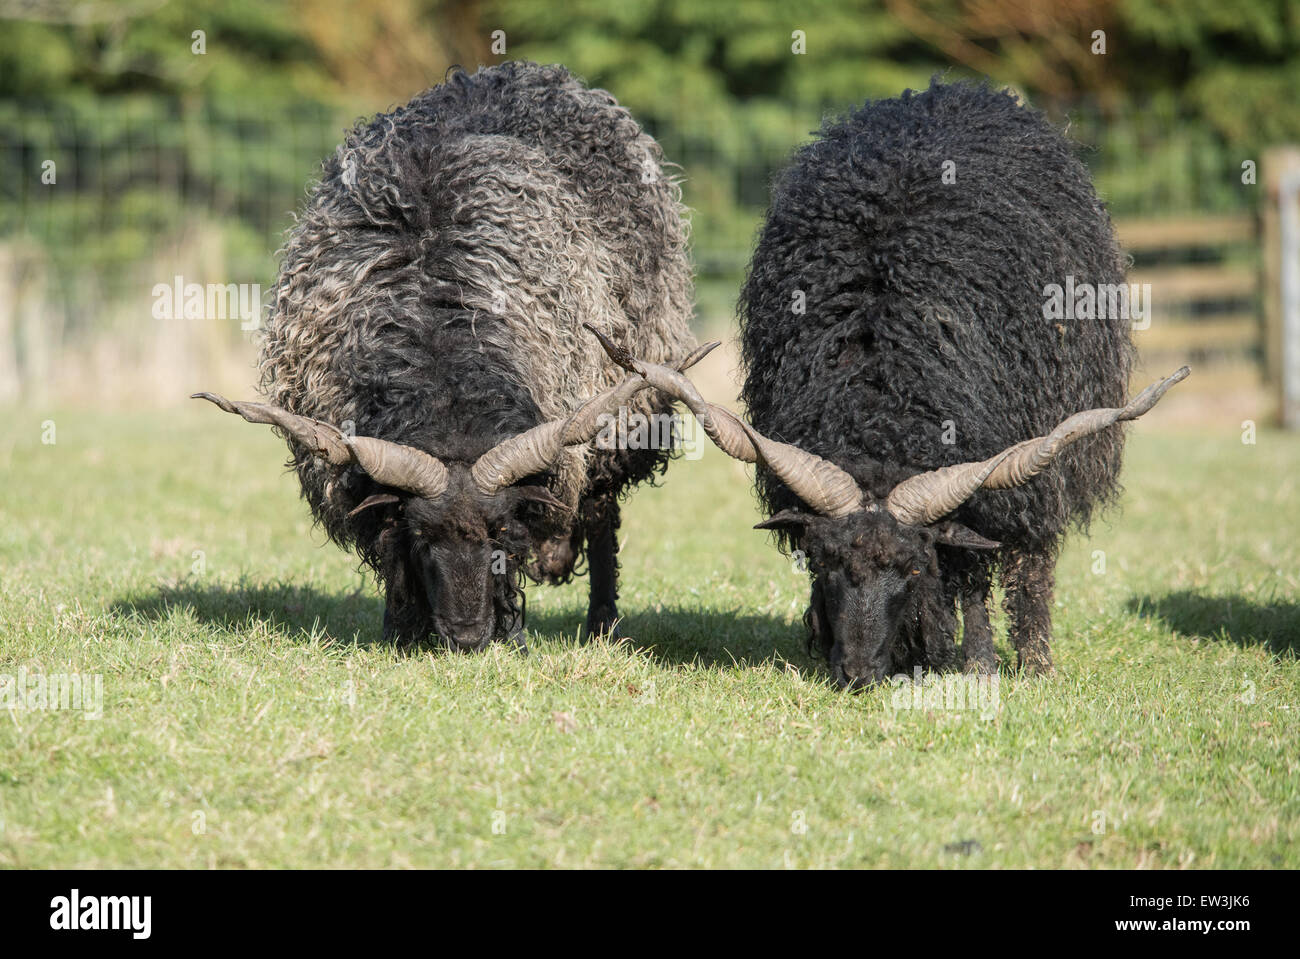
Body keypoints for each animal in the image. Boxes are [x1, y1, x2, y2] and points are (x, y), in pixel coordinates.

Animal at [194, 61, 704, 651]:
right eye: (422, 535)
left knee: (602, 514)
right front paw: (400, 628)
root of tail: (525, 70)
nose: (467, 636)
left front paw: (513, 632)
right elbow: (391, 560)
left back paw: (601, 625)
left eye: (498, 530)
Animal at [597, 80, 1188, 689]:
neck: (882, 400)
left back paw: (1034, 659)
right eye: (825, 562)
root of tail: (945, 91)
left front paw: (979, 664)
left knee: (1031, 563)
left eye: (913, 566)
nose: (857, 672)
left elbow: (974, 573)